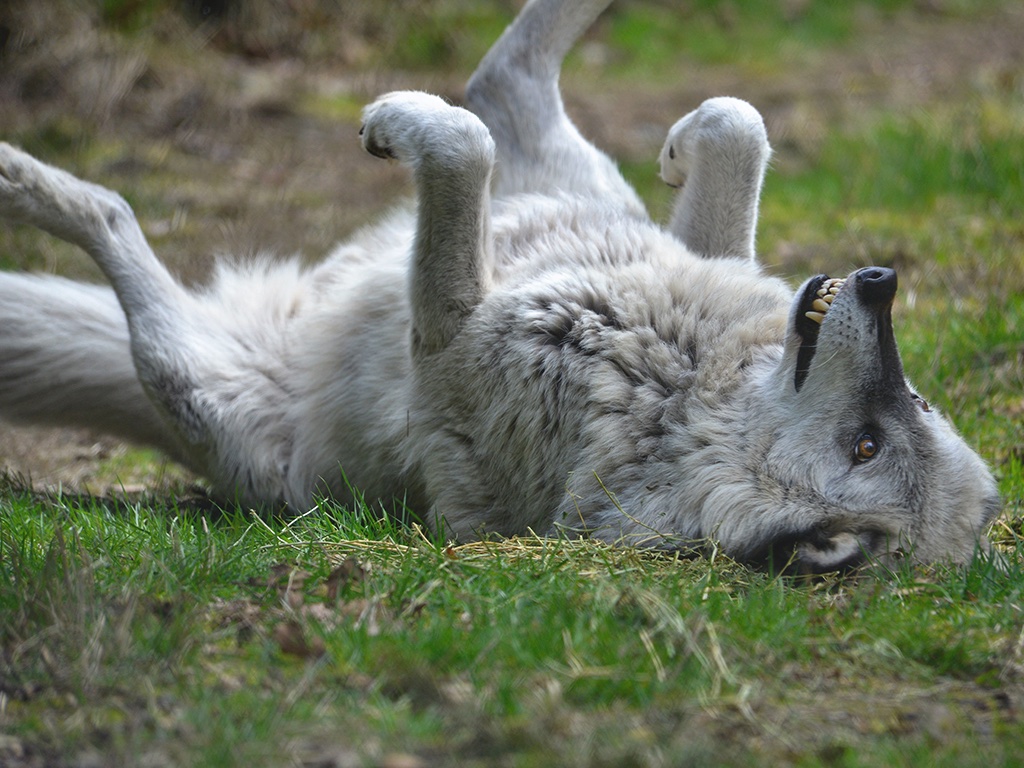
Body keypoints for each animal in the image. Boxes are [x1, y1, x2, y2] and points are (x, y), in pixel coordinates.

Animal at [0, 0, 999, 571]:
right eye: (908, 409)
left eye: (868, 445)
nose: (882, 283)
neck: (674, 385)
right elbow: (738, 123)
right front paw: (685, 145)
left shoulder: (446, 331)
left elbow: (456, 146)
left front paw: (397, 123)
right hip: (554, 156)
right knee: (514, 66)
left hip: (195, 387)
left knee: (113, 219)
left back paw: (19, 177)